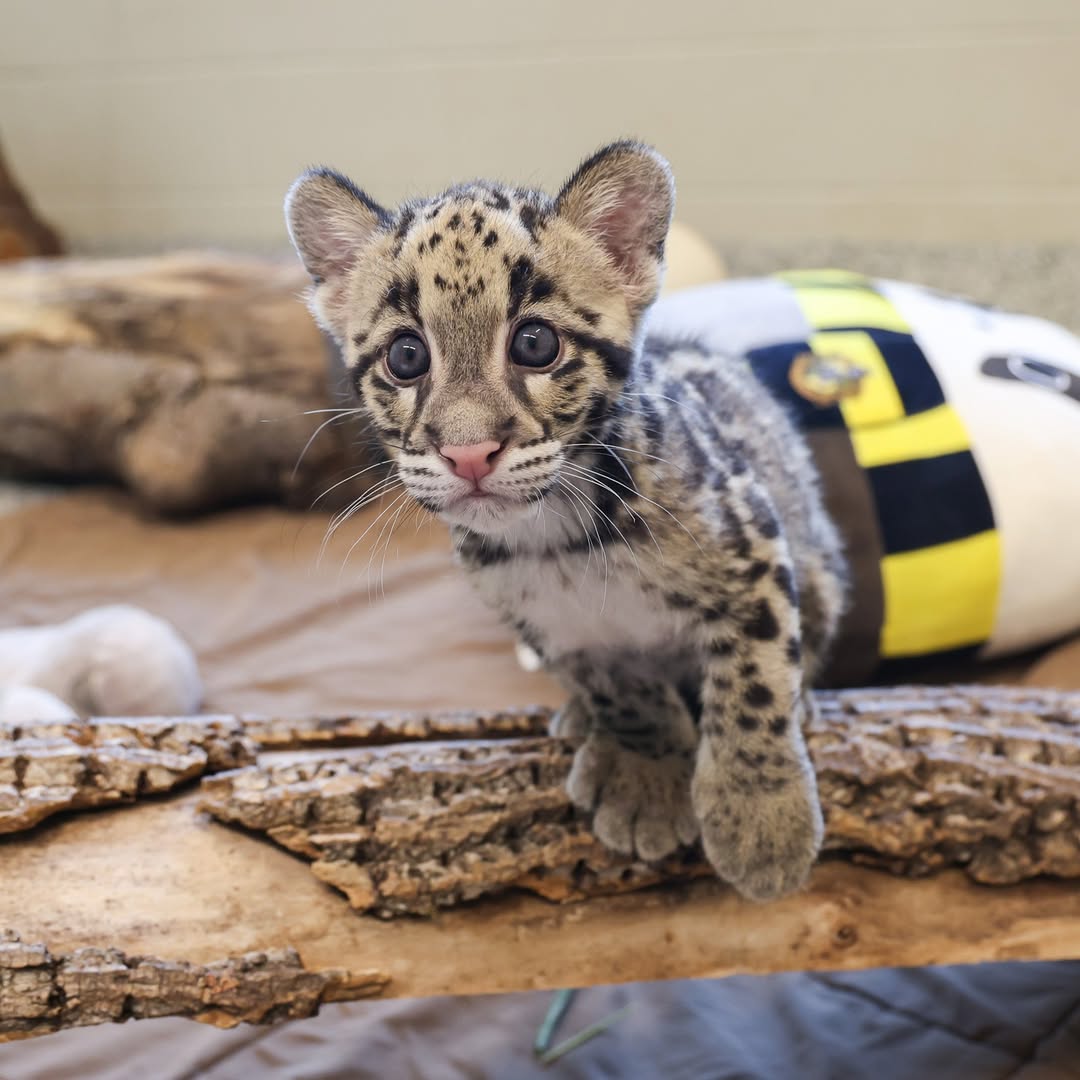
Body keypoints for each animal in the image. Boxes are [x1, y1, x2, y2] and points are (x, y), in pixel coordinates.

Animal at [284, 141, 848, 900]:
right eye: (406, 356)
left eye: (534, 344)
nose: (468, 452)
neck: (556, 536)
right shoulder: (553, 624)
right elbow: (620, 689)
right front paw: (645, 773)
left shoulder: (749, 540)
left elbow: (753, 680)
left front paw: (762, 817)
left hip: (819, 564)